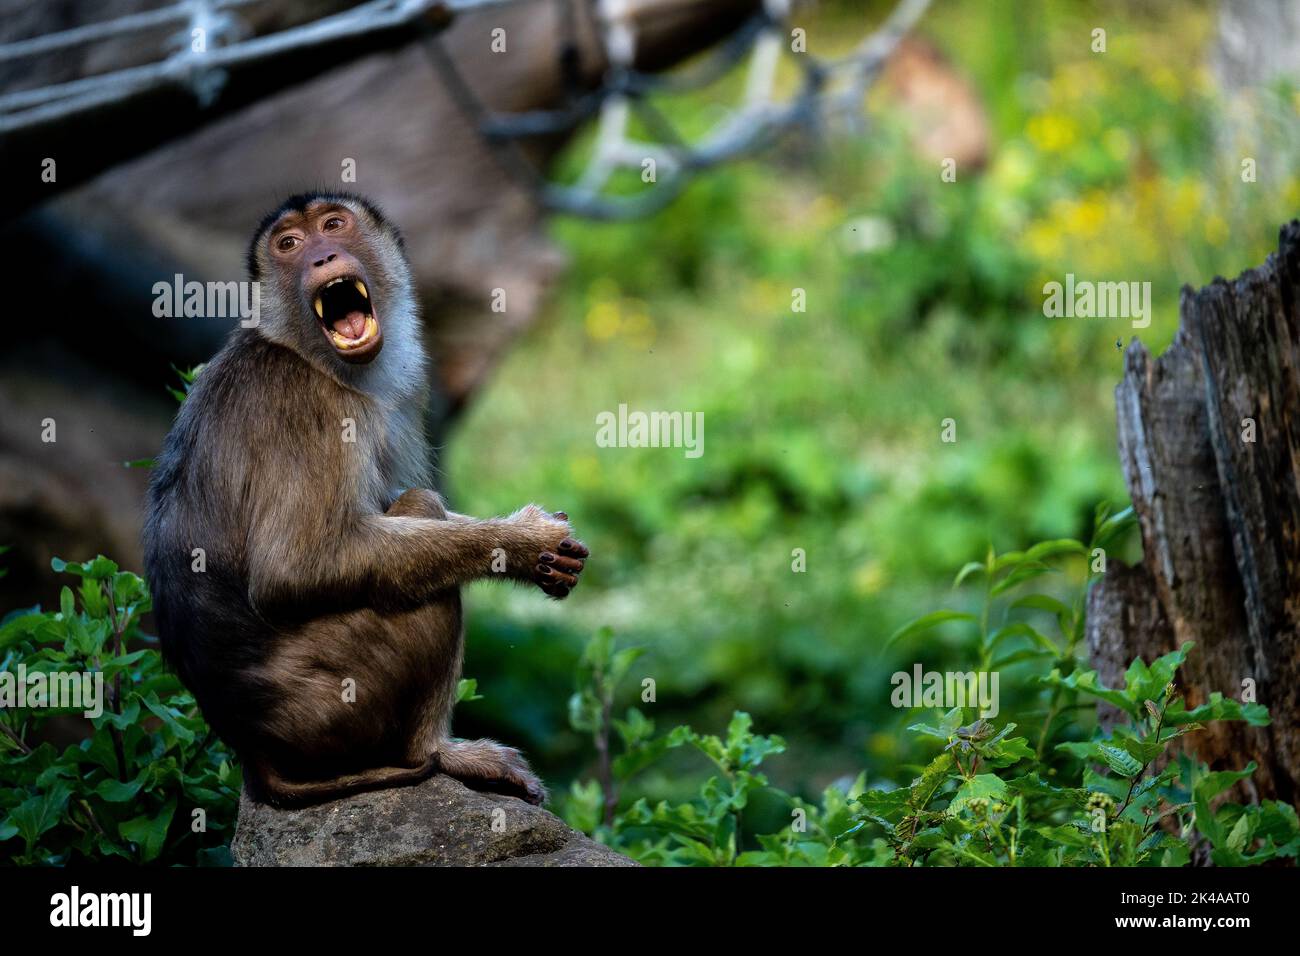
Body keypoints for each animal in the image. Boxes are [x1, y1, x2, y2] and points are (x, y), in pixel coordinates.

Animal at [143, 191, 588, 807]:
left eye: (334, 224)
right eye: (289, 244)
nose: (322, 255)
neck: (308, 353)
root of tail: (252, 748)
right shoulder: (313, 408)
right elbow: (295, 568)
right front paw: (523, 543)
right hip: (332, 705)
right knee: (418, 525)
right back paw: (436, 751)